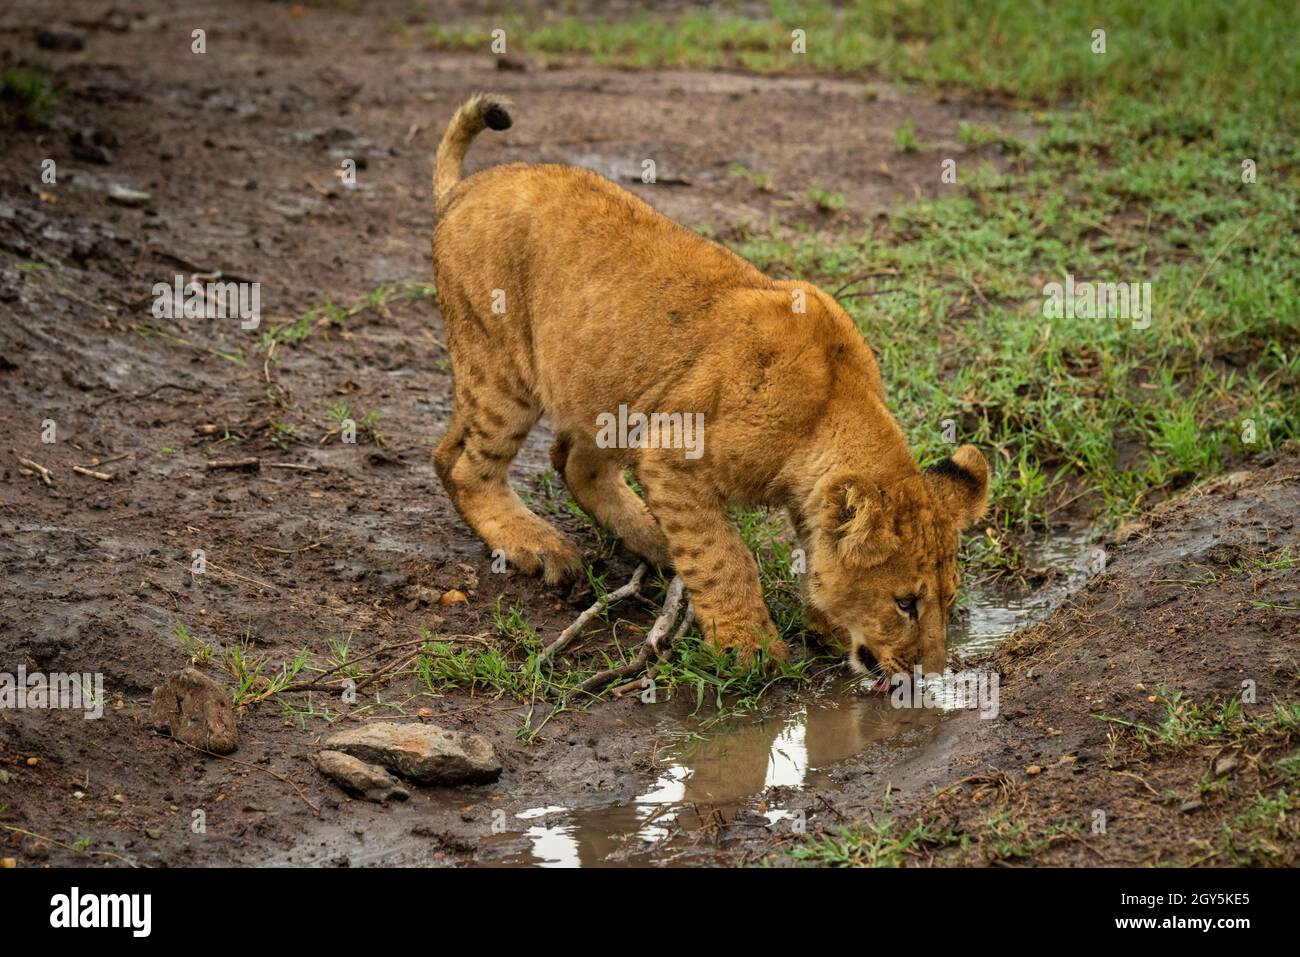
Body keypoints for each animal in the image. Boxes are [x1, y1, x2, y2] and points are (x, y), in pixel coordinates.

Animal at [429, 93, 990, 677]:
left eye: (949, 600)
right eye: (905, 603)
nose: (930, 675)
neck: (832, 403)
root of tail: (465, 188)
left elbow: (809, 550)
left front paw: (824, 624)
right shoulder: (673, 452)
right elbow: (723, 555)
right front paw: (752, 649)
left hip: (611, 388)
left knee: (552, 461)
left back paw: (653, 540)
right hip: (503, 368)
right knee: (469, 467)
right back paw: (540, 546)